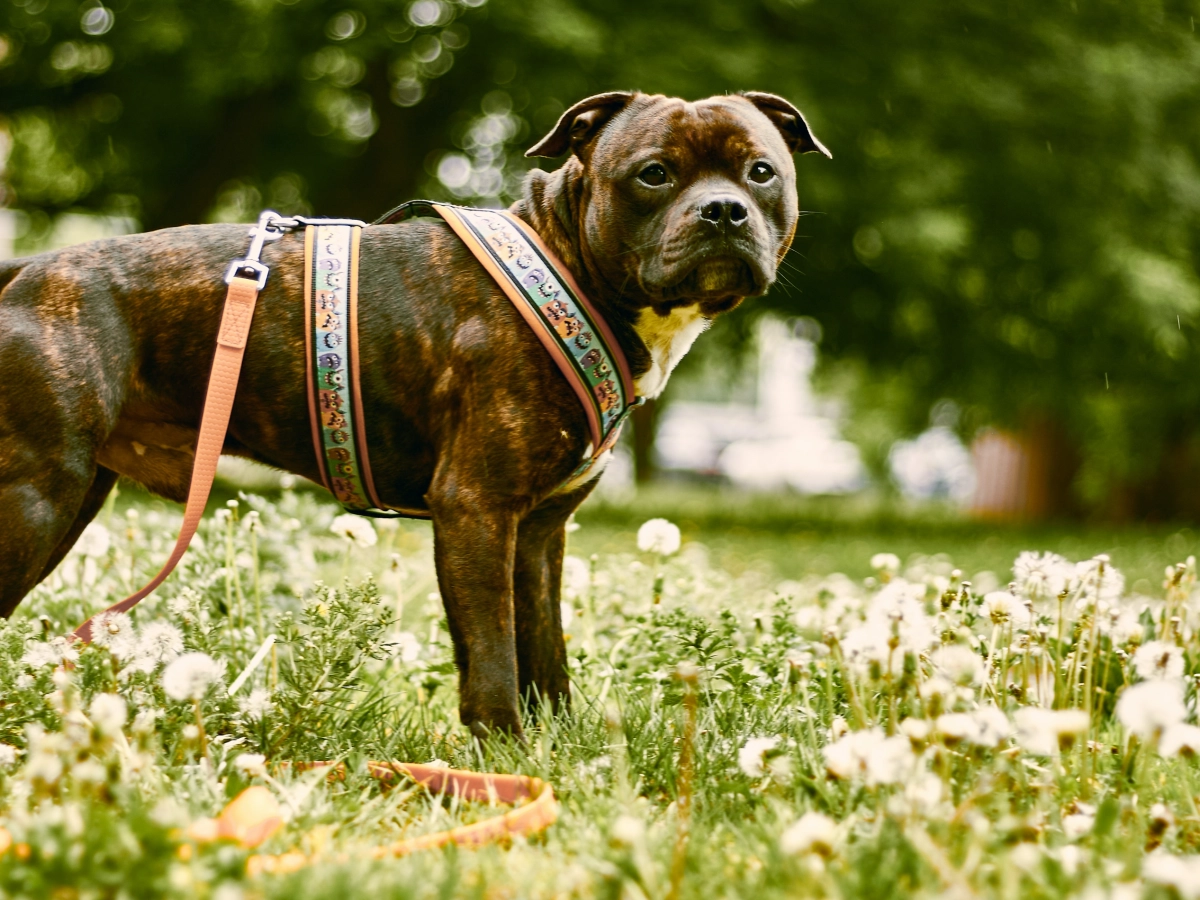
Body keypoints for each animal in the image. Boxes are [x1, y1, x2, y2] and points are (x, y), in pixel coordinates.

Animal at [0, 91, 825, 739]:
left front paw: (565, 752)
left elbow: (543, 649)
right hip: (37, 499)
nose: (723, 210)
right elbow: (491, 655)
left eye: (761, 172)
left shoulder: (539, 534)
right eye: (654, 173)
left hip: (71, 497)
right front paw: (504, 760)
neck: (567, 263)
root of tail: (27, 272)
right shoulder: (476, 511)